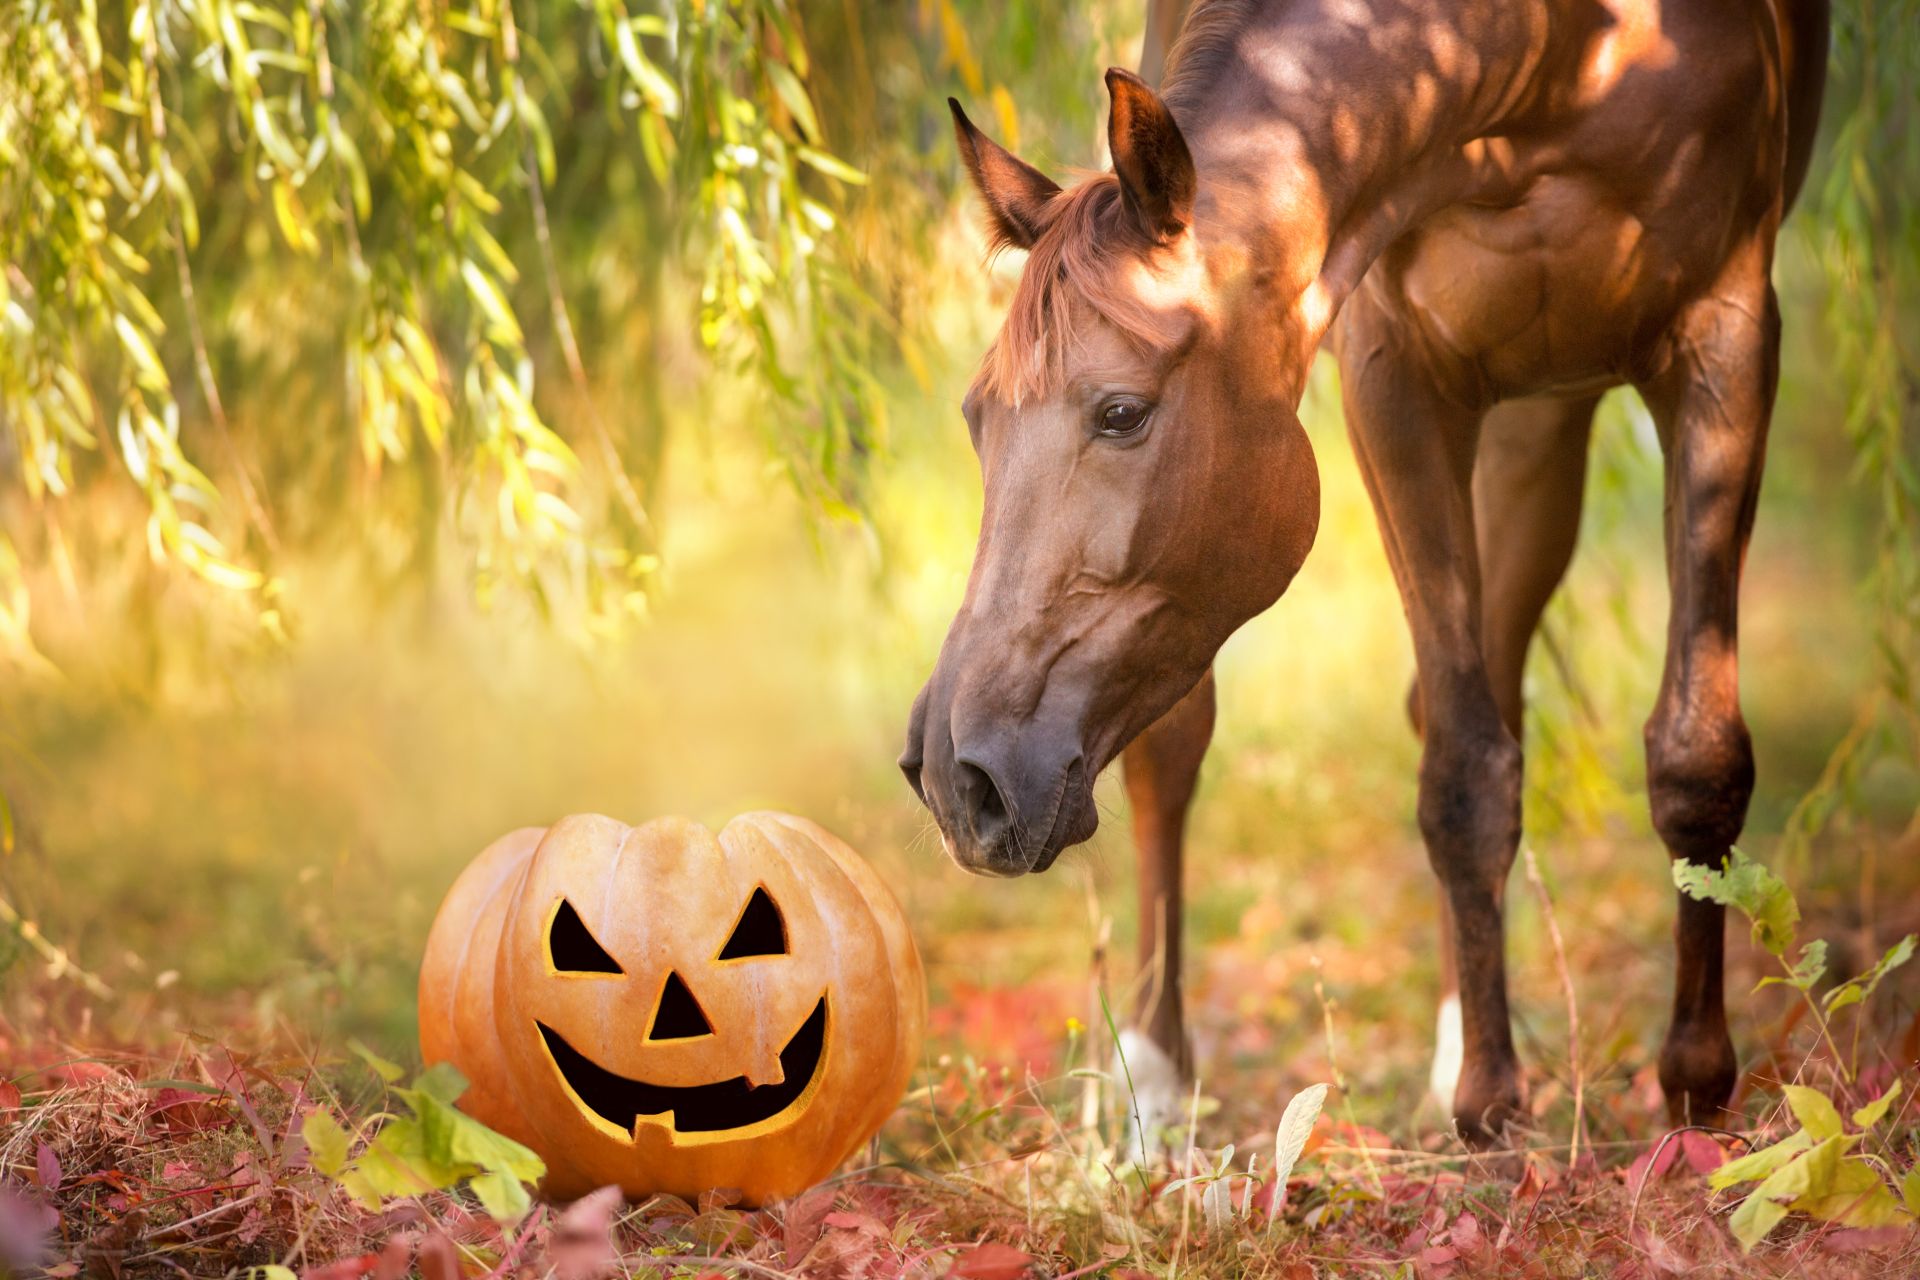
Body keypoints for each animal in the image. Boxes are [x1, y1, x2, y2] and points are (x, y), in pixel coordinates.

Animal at [899, 0, 1830, 1144]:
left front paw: (1694, 1082)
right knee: (1179, 748)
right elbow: (1465, 775)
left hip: (1540, 423)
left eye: (1120, 412)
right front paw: (1494, 1103)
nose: (957, 779)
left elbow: (1694, 751)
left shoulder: (1727, 341)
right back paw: (1156, 1074)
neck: (1564, 60)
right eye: (975, 419)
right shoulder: (1397, 375)